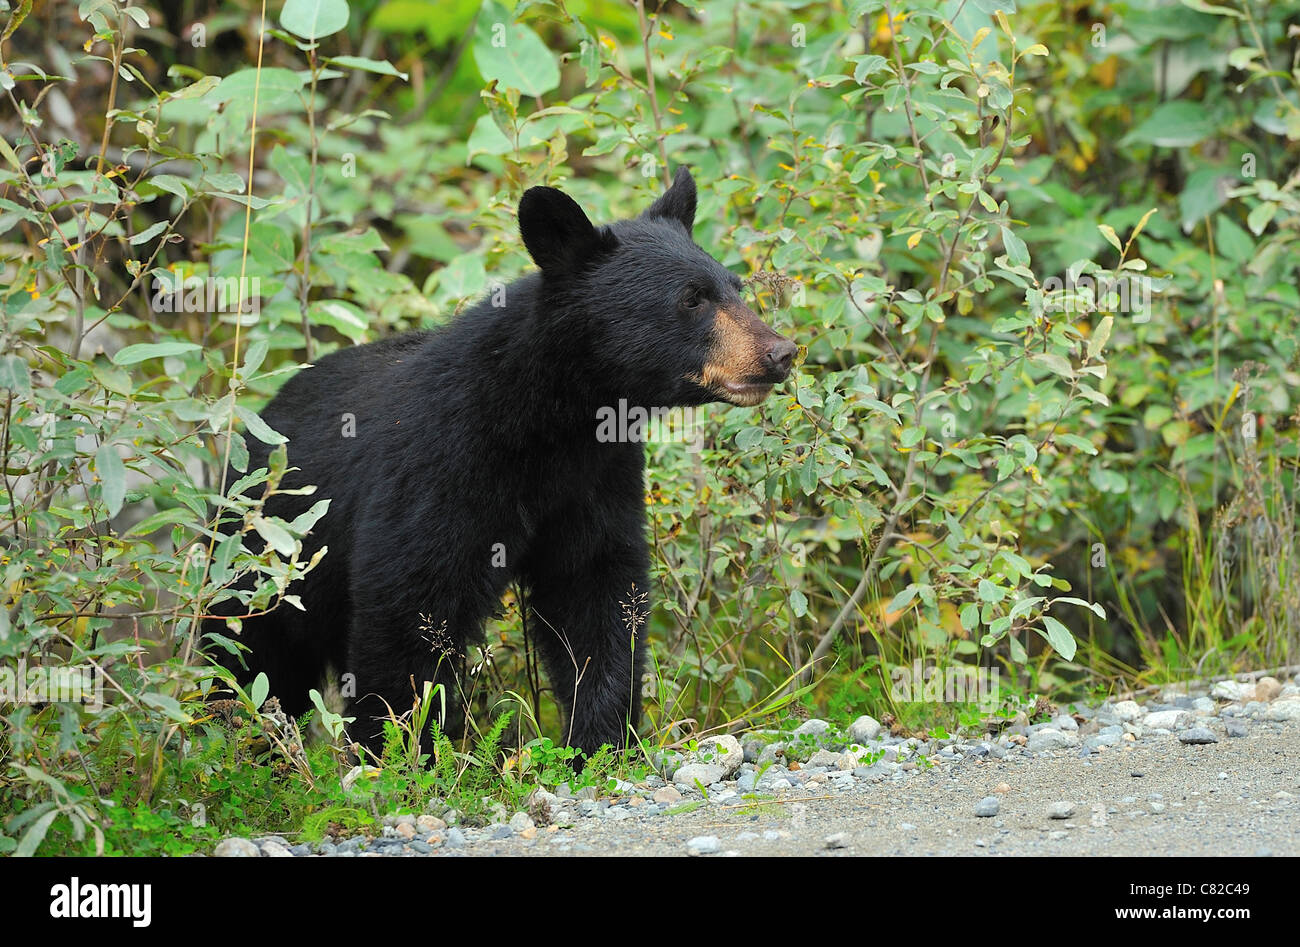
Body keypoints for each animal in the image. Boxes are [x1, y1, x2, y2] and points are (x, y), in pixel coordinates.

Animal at [205, 167, 796, 759]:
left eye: (735, 288)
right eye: (692, 299)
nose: (781, 352)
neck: (553, 422)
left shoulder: (598, 477)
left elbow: (596, 593)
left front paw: (600, 743)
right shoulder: (438, 467)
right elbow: (409, 604)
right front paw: (395, 751)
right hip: (264, 558)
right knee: (251, 656)